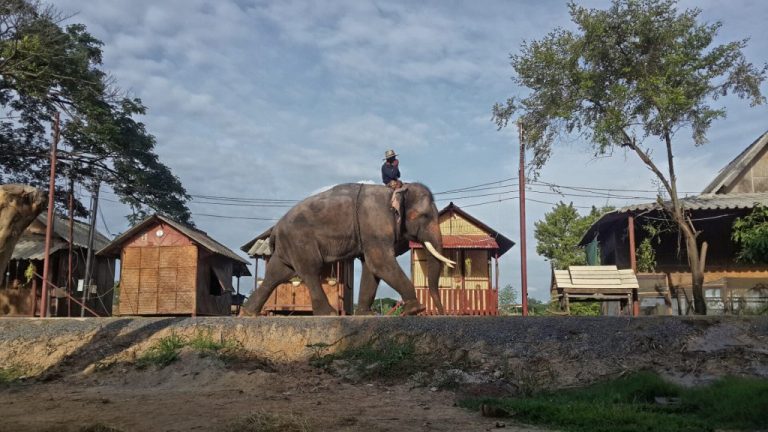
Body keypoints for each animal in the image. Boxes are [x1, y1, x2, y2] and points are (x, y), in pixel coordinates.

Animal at [241, 183, 456, 316]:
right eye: (424, 216)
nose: (442, 313)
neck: (395, 192)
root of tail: (276, 228)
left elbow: (371, 267)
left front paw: (367, 315)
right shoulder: (374, 225)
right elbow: (380, 263)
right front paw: (416, 310)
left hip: (289, 245)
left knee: (277, 273)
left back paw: (248, 313)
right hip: (300, 241)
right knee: (310, 270)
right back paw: (328, 314)